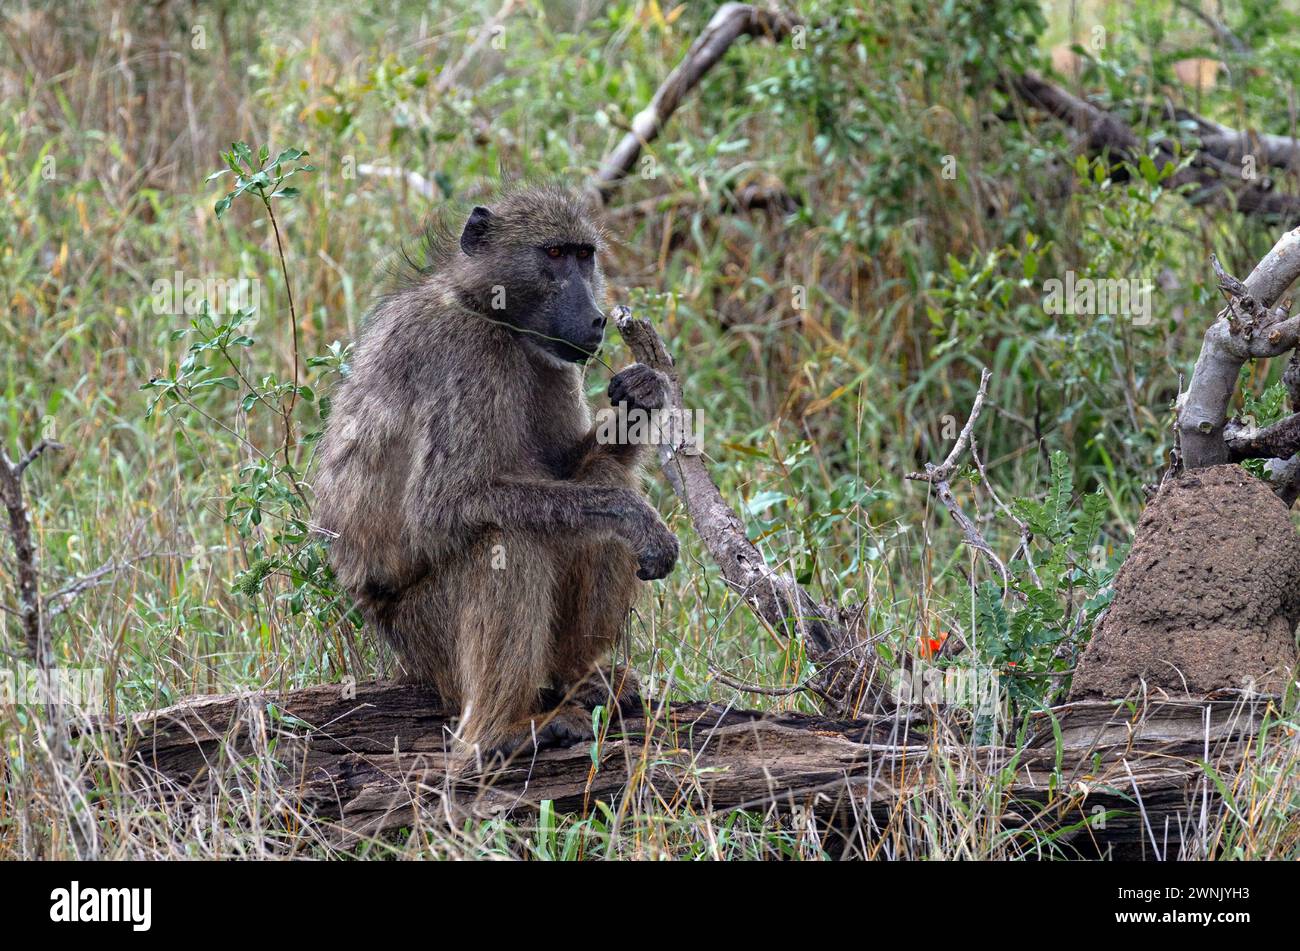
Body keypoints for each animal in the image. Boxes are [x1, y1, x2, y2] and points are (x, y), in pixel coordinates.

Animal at [313, 183, 679, 761]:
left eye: (585, 255)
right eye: (554, 254)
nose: (597, 319)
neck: (491, 314)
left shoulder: (552, 362)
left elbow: (568, 471)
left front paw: (642, 392)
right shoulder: (464, 355)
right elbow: (444, 503)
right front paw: (637, 518)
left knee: (599, 487)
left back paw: (578, 678)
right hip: (425, 639)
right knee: (509, 537)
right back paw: (501, 731)